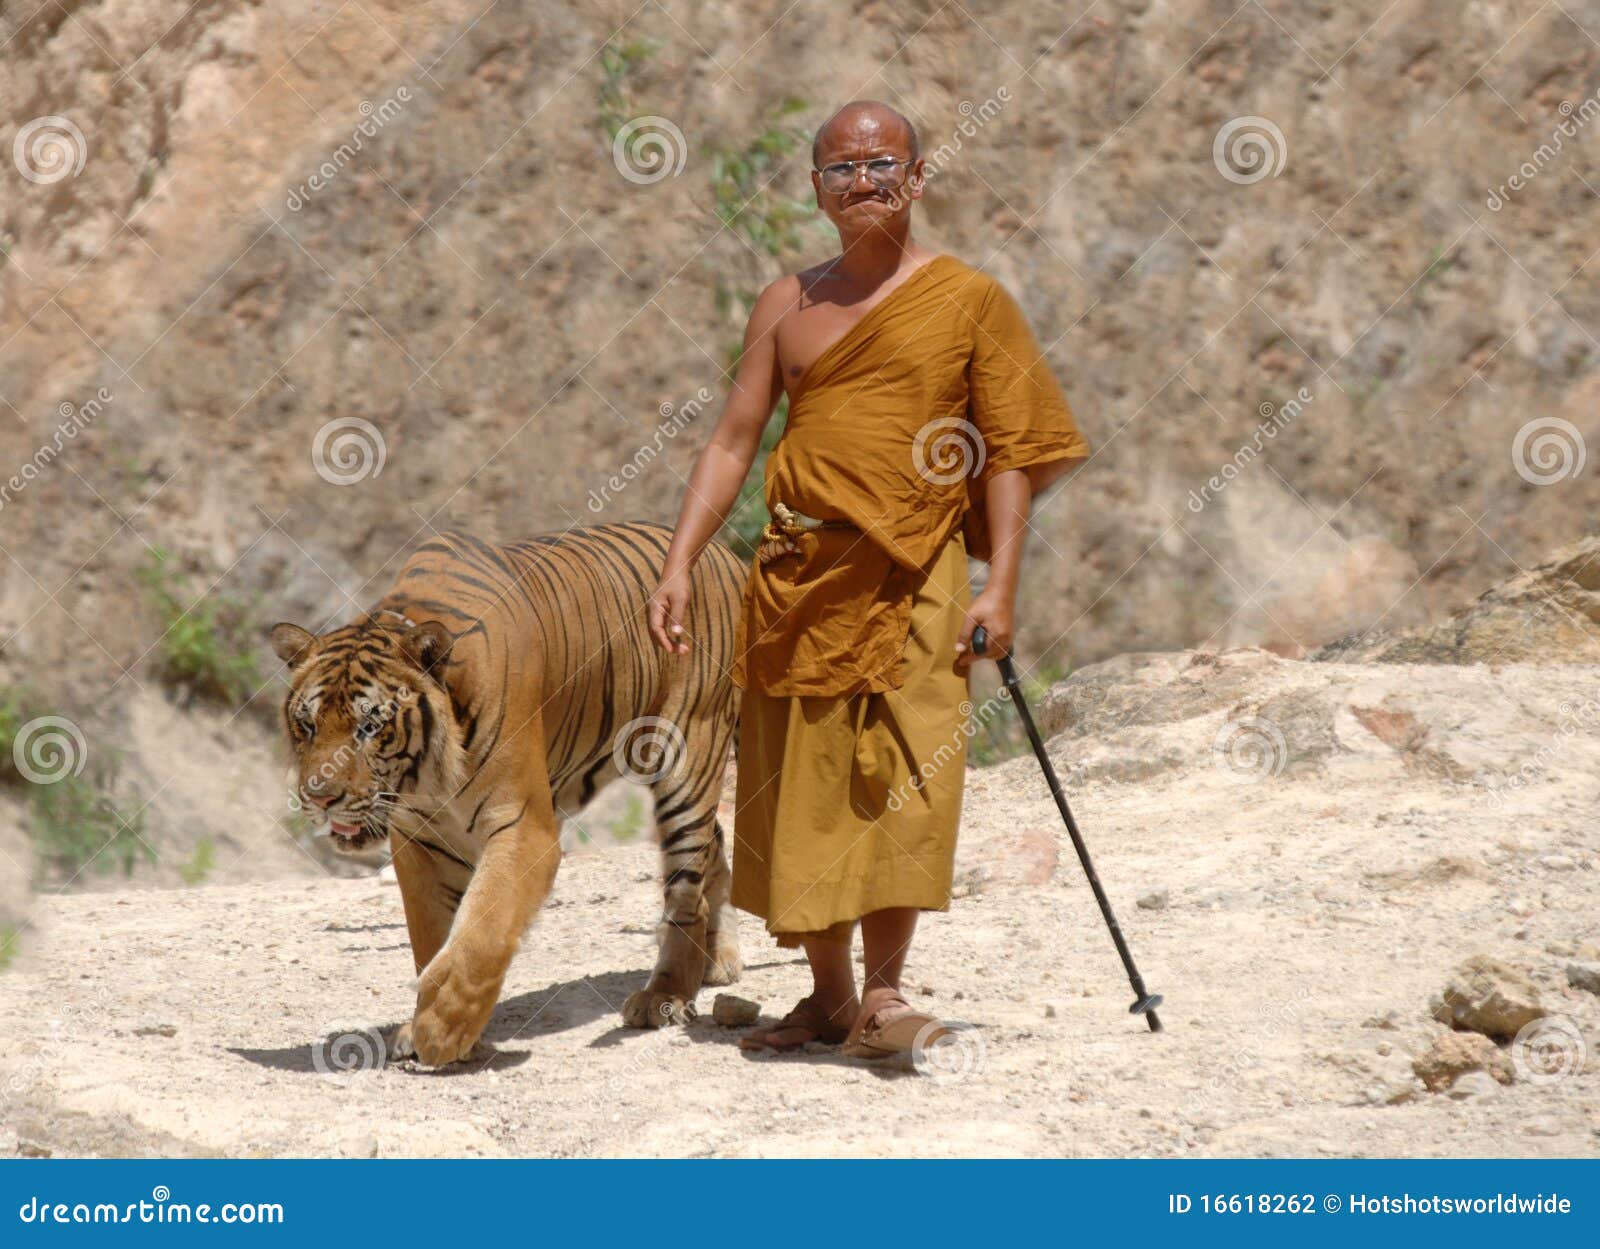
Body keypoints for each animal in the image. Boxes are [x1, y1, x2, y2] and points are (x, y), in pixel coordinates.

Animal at [269, 523, 745, 1067]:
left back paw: (664, 996)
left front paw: (442, 1030)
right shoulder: (419, 842)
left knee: (688, 882)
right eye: (307, 725)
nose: (319, 797)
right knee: (715, 845)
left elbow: (483, 930)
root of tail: (727, 554)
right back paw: (719, 962)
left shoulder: (523, 827)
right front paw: (432, 1023)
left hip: (687, 755)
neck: (428, 778)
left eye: (369, 726)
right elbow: (431, 937)